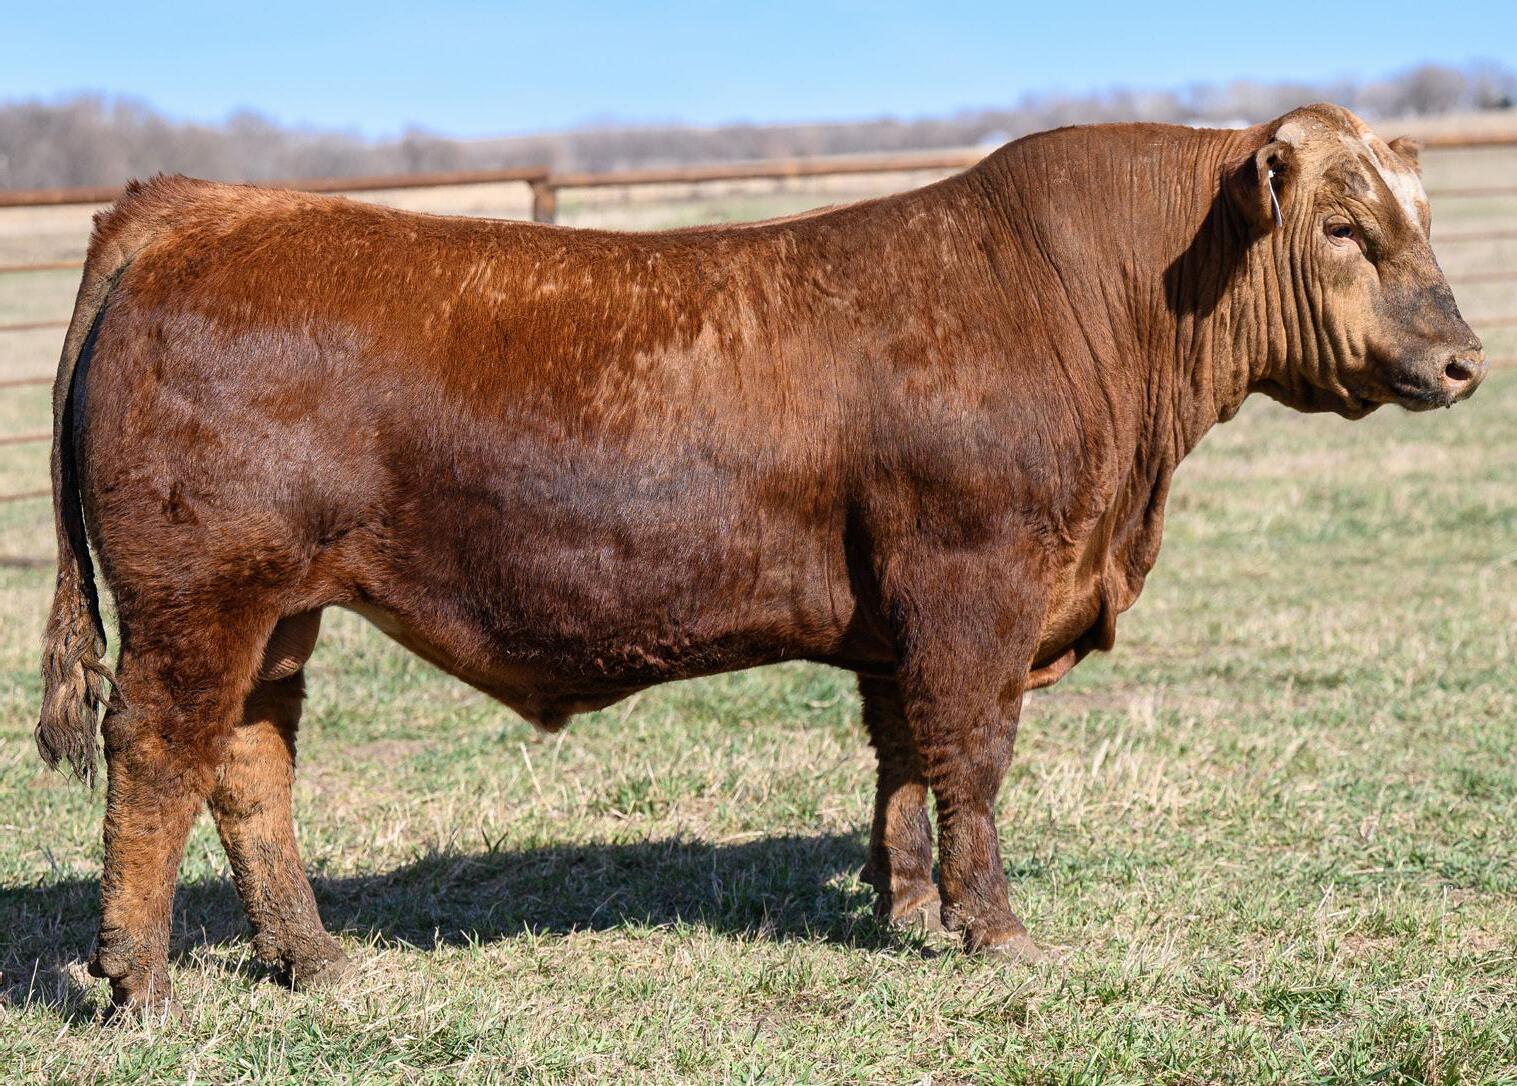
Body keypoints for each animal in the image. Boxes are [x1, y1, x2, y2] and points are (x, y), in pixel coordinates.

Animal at [35, 103, 1484, 1013]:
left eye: (1414, 217)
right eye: (1344, 227)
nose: (1464, 359)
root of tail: (194, 209)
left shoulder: (898, 615)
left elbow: (900, 760)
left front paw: (904, 911)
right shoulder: (972, 587)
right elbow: (970, 758)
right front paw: (993, 930)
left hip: (275, 611)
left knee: (248, 763)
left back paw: (312, 959)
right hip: (200, 597)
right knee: (158, 754)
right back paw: (137, 979)